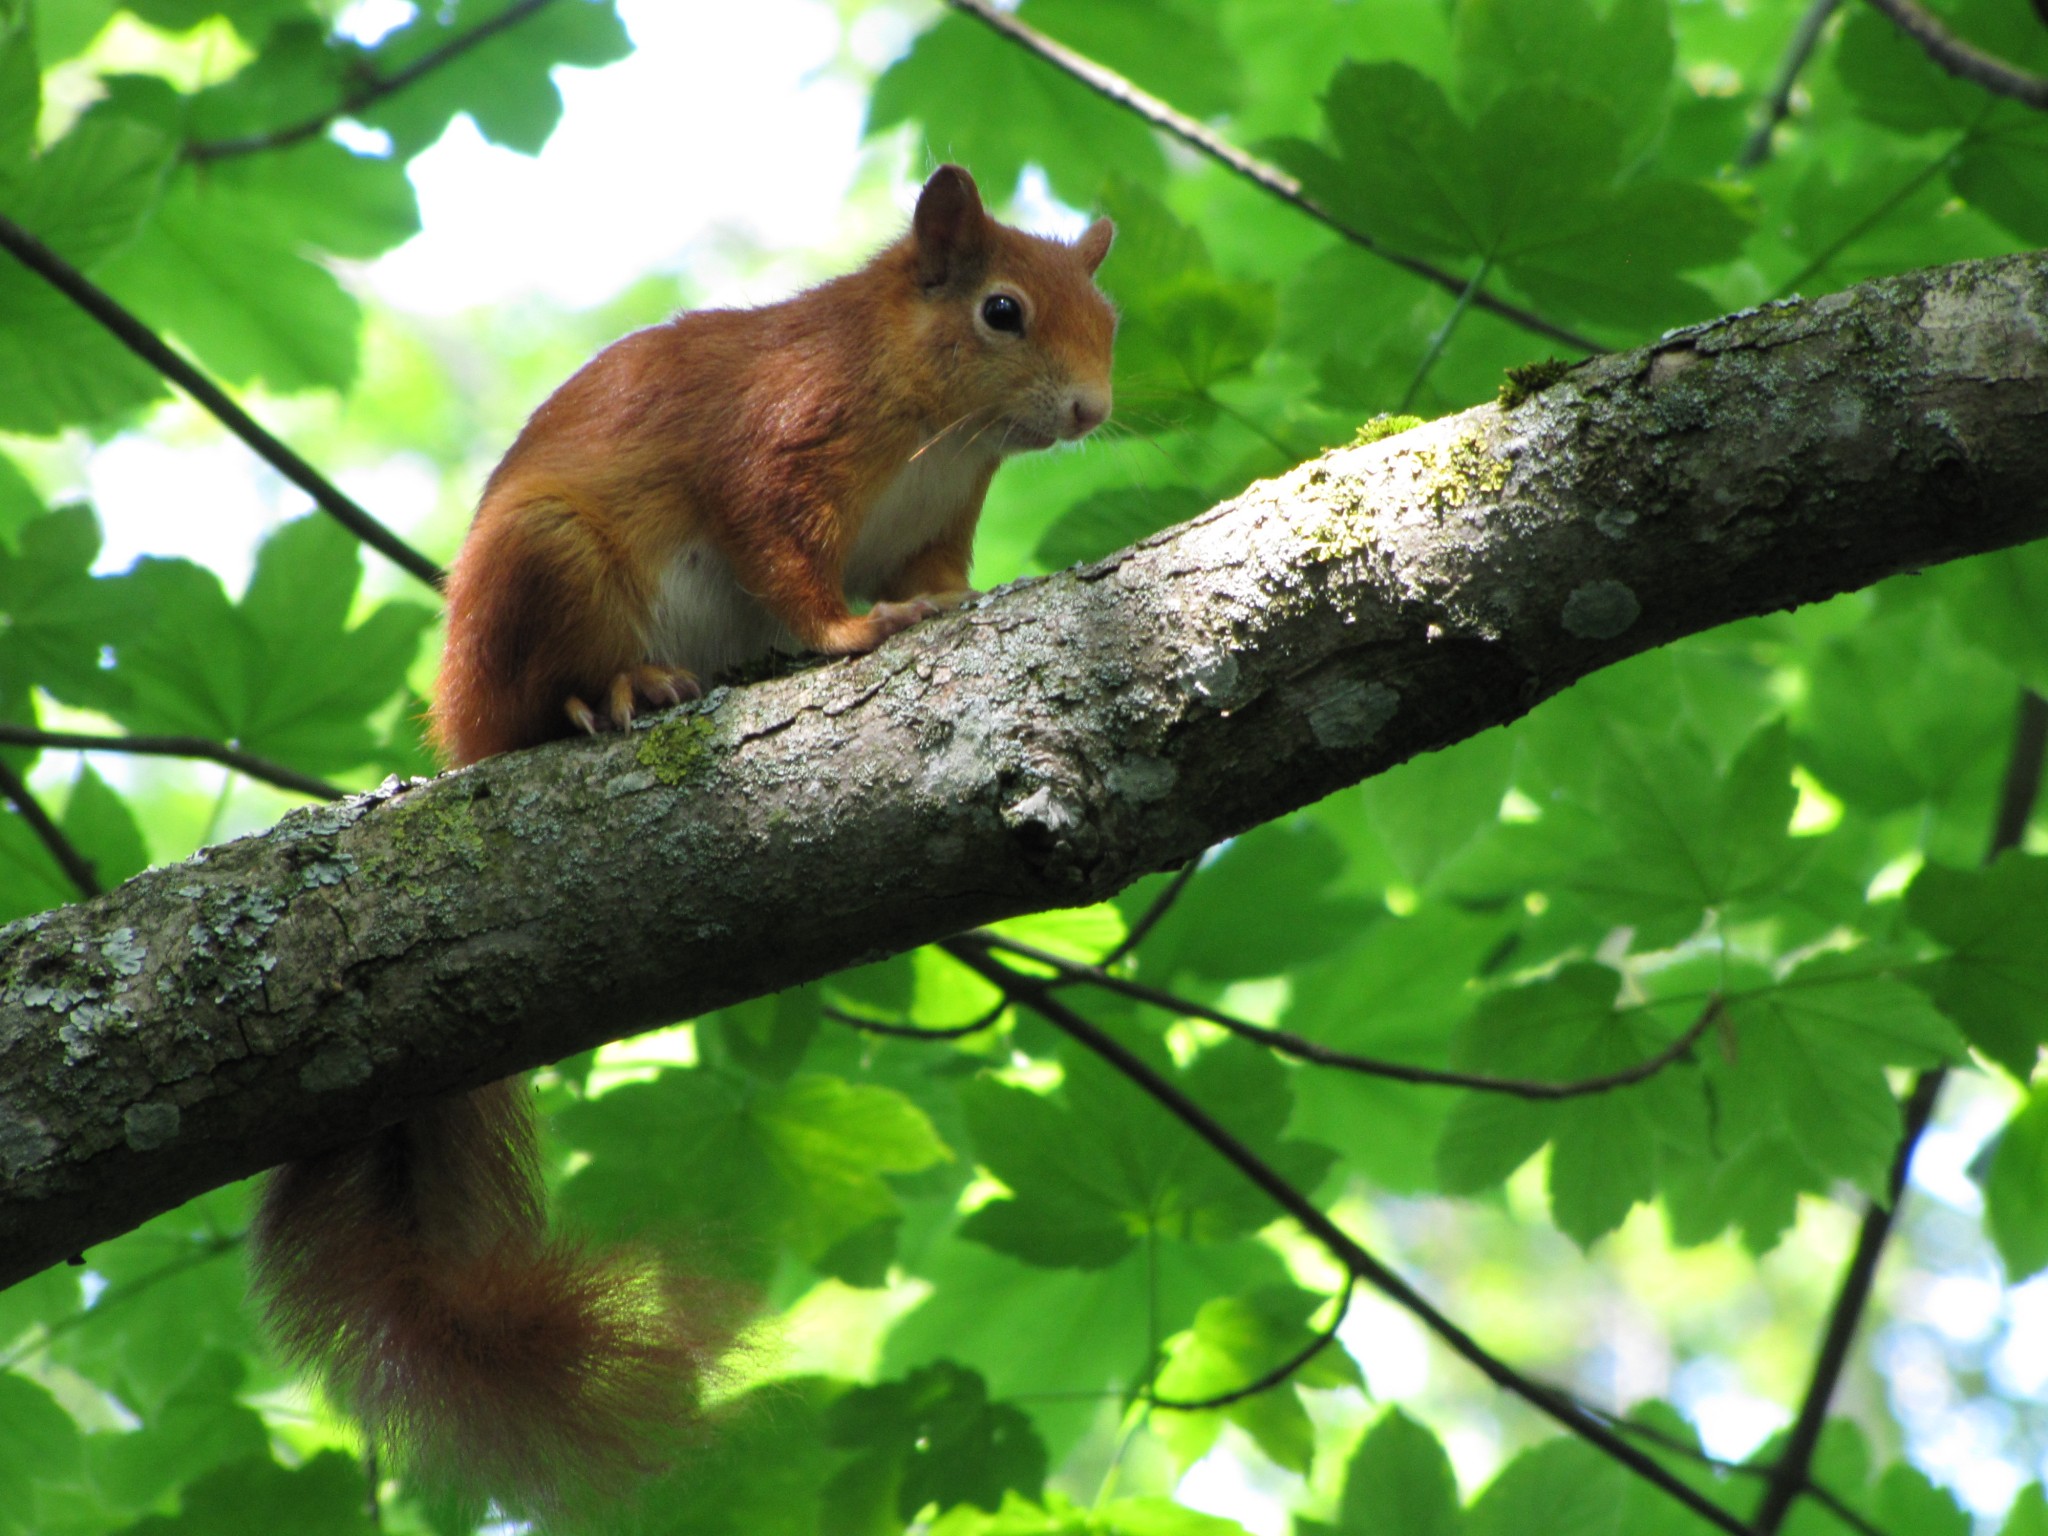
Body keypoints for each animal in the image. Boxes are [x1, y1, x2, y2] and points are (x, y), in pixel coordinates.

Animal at [251, 164, 1116, 1514]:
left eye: (1109, 319)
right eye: (1002, 311)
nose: (1088, 409)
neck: (930, 416)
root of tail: (457, 730)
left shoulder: (934, 524)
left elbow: (936, 577)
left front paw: (961, 606)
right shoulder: (779, 452)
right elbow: (787, 563)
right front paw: (847, 634)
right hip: (544, 566)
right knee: (534, 700)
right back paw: (610, 696)